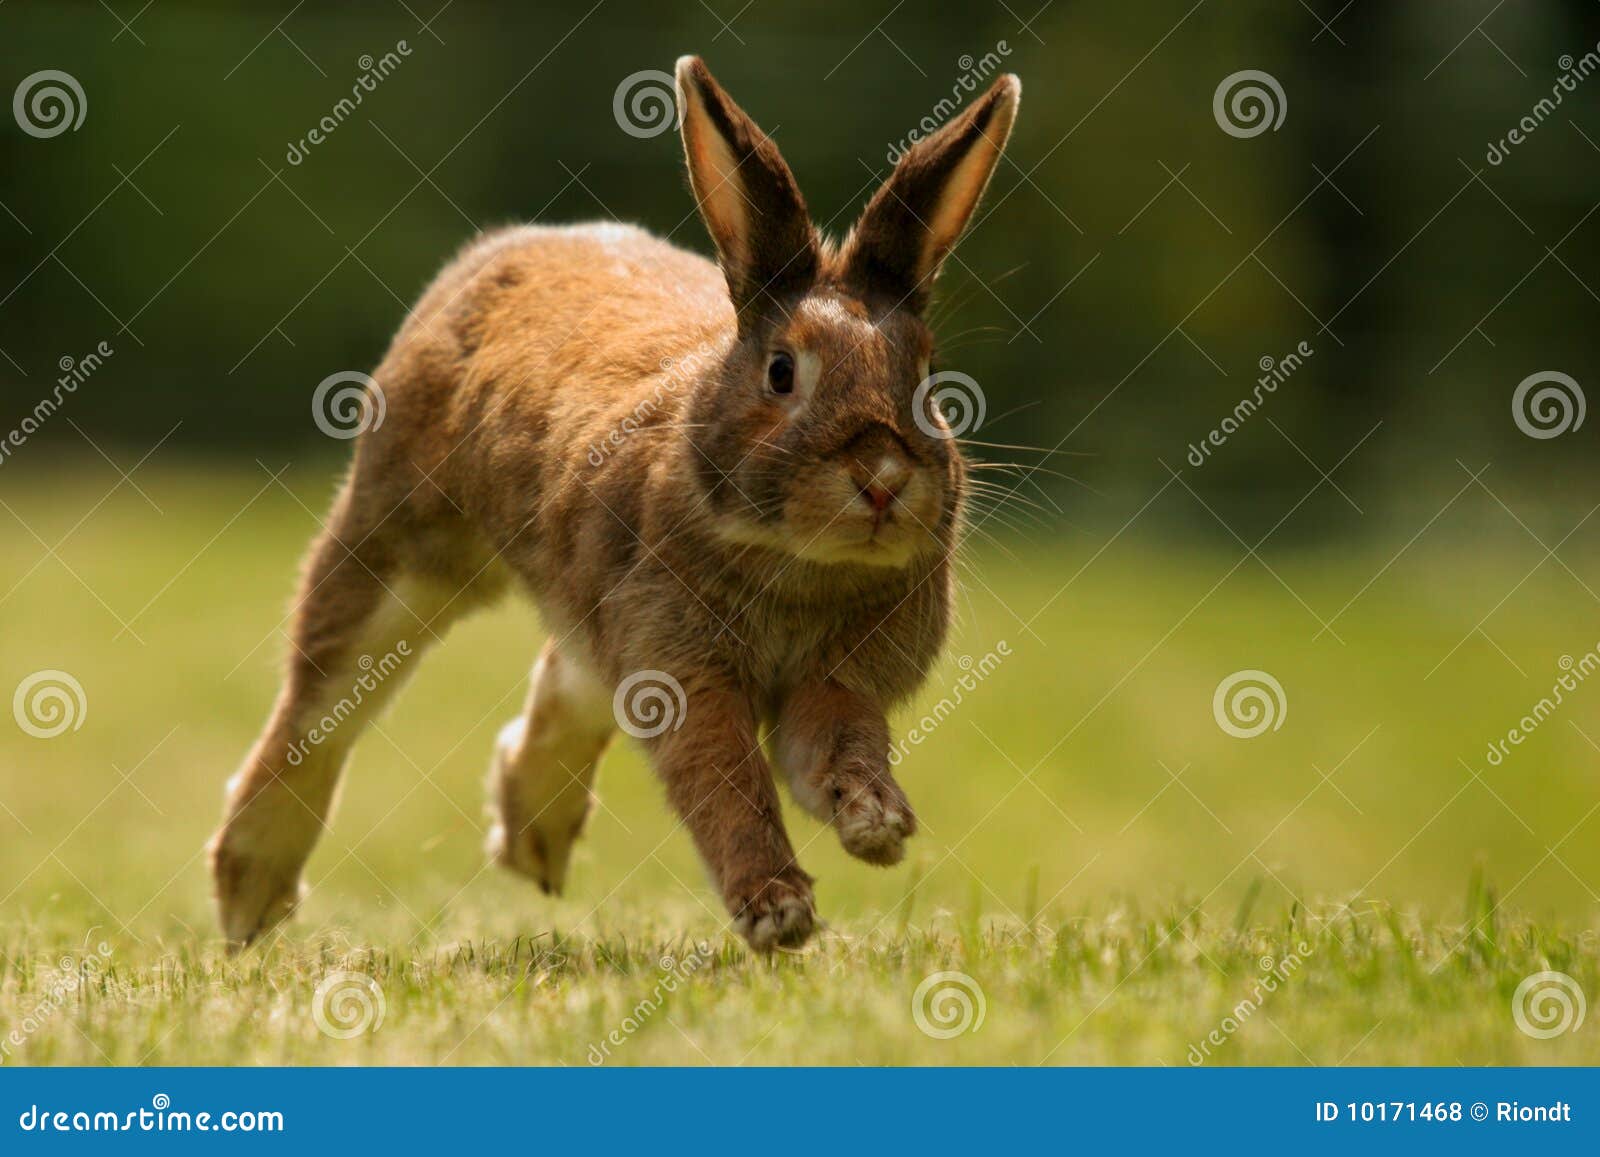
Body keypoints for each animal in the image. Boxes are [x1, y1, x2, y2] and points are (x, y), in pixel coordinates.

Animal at [208, 56, 1021, 951]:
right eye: (782, 371)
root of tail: (508, 248)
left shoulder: (833, 679)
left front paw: (877, 821)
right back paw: (248, 895)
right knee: (318, 706)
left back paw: (533, 835)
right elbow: (724, 782)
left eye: (925, 375)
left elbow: (836, 748)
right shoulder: (680, 669)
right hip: (395, 544)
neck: (797, 561)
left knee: (564, 674)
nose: (881, 476)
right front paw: (776, 909)